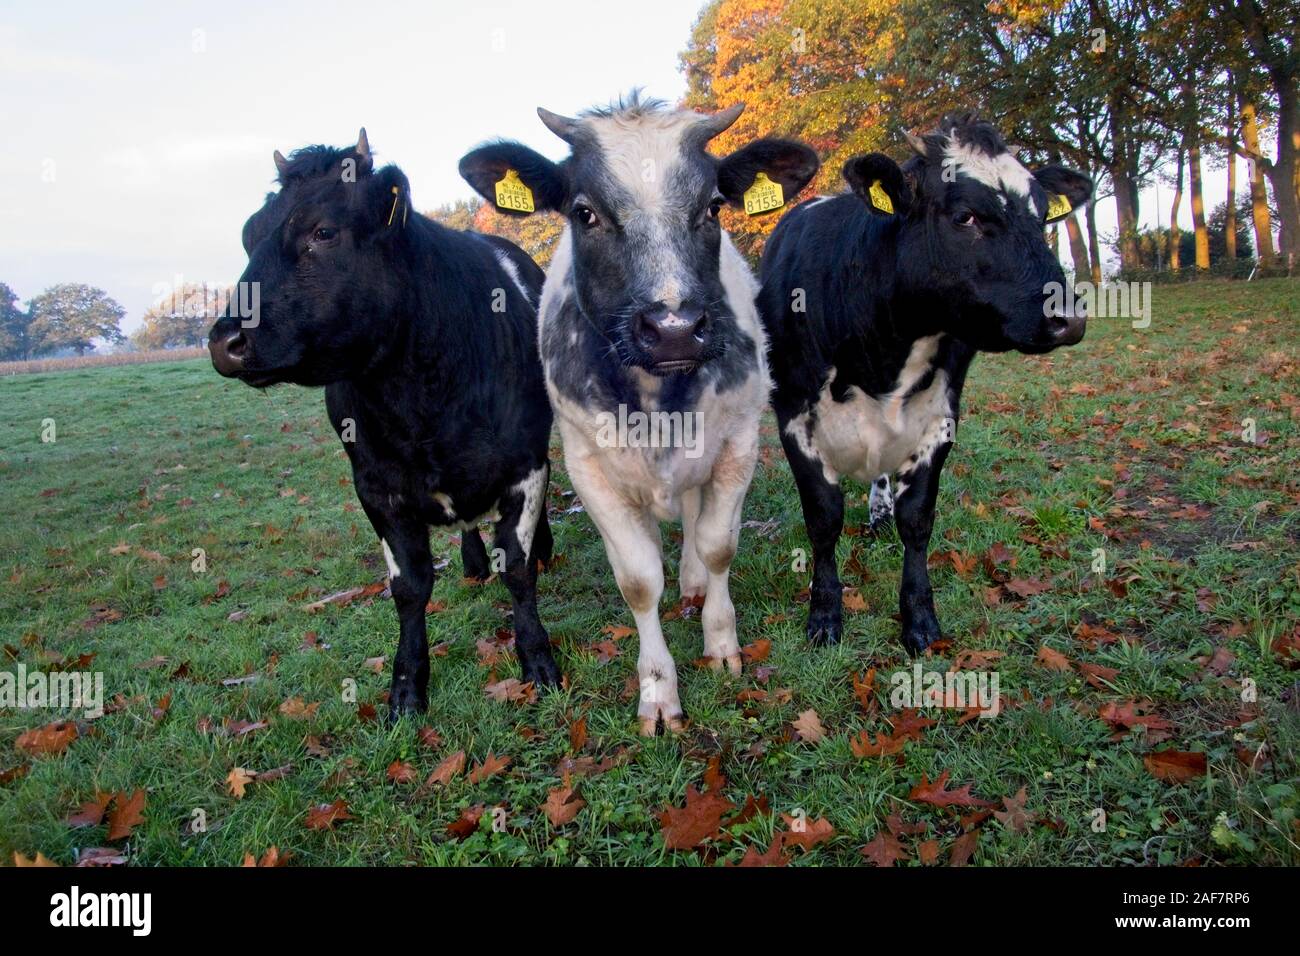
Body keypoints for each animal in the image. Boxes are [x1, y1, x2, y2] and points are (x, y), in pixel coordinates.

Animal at [208, 129, 561, 720]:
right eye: (247, 236)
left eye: (323, 231)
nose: (224, 341)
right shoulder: (374, 485)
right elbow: (409, 588)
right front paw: (407, 689)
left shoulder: (526, 463)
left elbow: (516, 565)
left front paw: (538, 661)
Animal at [459, 95, 819, 735]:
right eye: (584, 213)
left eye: (713, 206)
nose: (674, 327)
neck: (660, 401)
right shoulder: (589, 467)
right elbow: (638, 579)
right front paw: (657, 691)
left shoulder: (739, 440)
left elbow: (718, 545)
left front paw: (721, 644)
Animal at [756, 113, 1093, 655]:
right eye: (965, 217)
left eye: (1043, 215)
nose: (1068, 318)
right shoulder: (793, 415)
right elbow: (824, 517)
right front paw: (824, 615)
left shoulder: (940, 417)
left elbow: (916, 519)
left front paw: (919, 619)